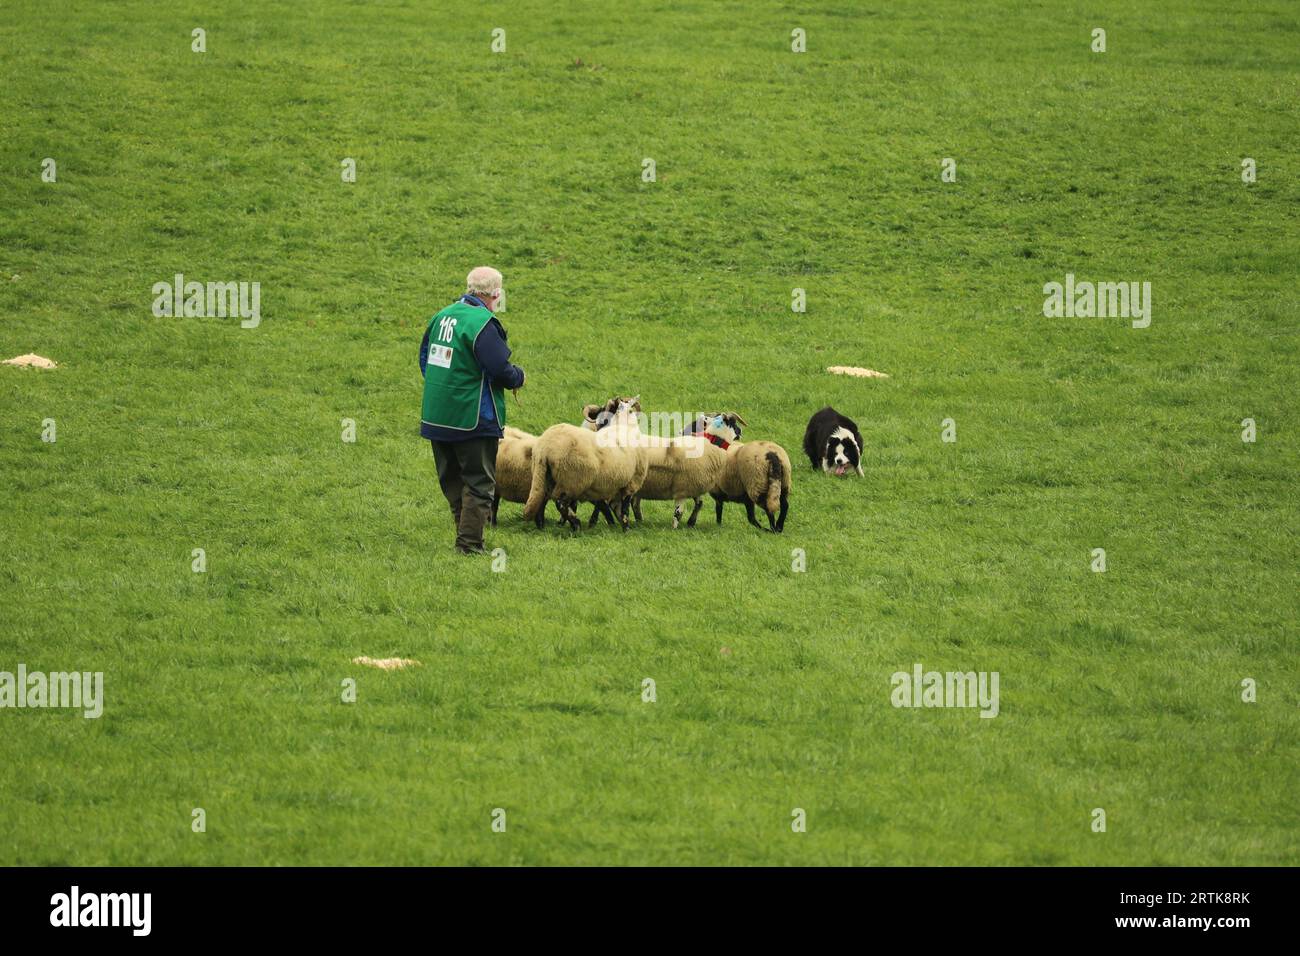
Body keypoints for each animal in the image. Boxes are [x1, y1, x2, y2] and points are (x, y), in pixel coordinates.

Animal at [523, 398, 650, 531]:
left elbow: (614, 508)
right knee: (560, 503)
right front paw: (625, 529)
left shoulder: (609, 487)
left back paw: (542, 526)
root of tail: (544, 448)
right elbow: (624, 509)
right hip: (571, 480)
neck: (623, 426)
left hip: (543, 476)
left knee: (542, 500)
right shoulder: (631, 483)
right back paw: (576, 525)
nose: (599, 425)